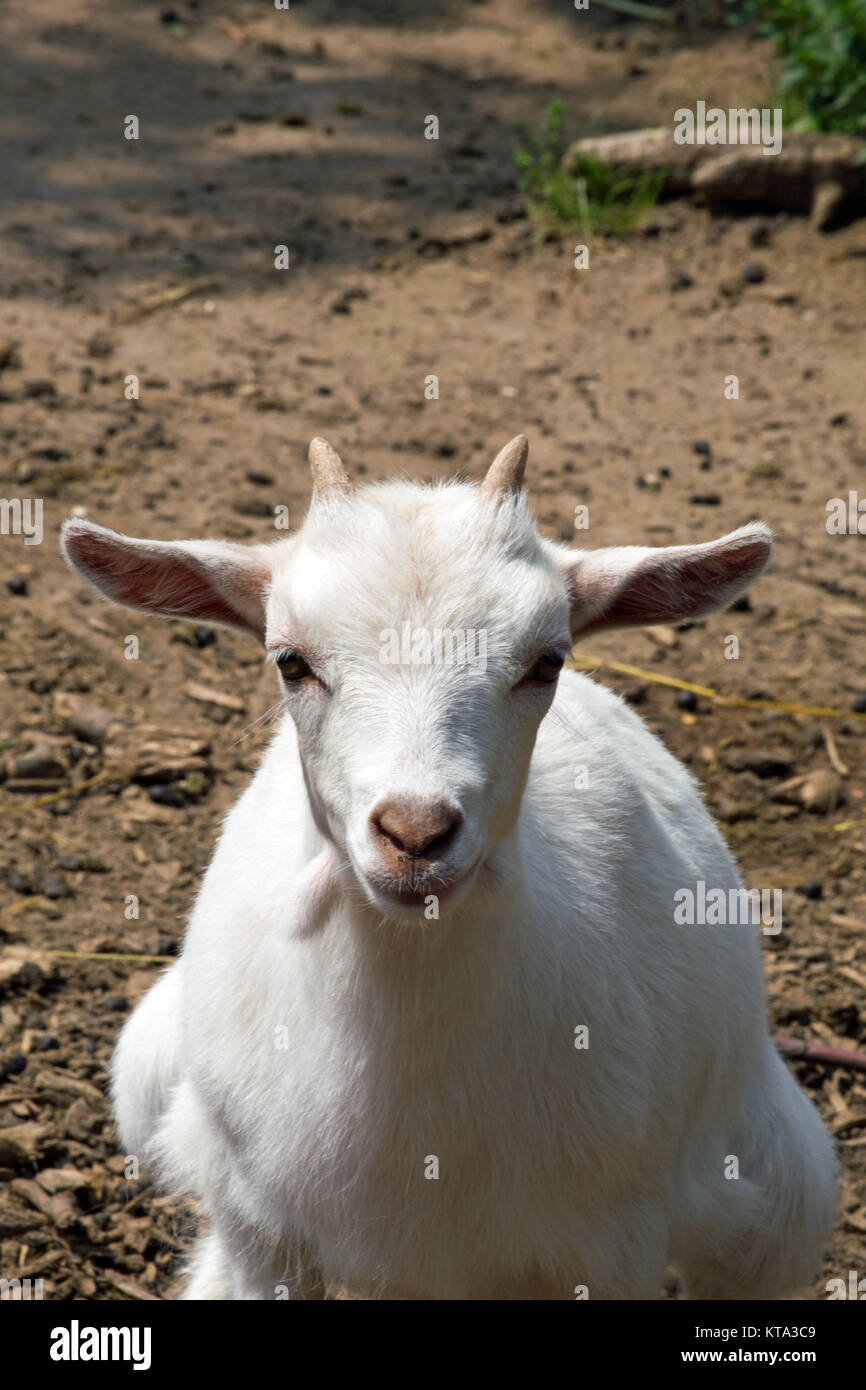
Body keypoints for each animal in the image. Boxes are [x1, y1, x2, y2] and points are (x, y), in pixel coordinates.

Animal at [61, 435, 837, 1300]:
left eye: (546, 661)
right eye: (290, 661)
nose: (416, 833)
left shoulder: (609, 1244)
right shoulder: (255, 1228)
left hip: (773, 1192)